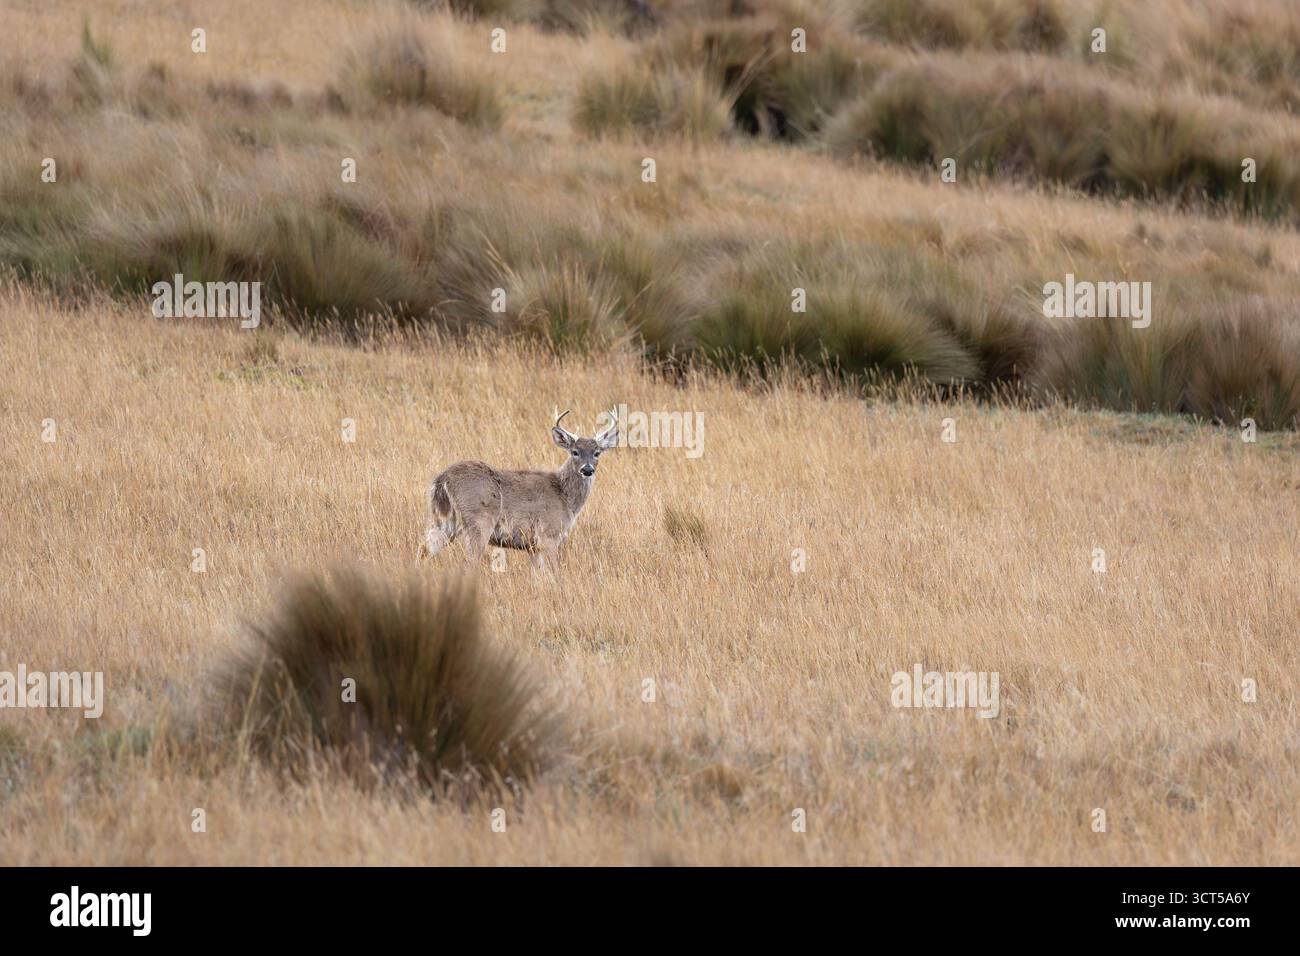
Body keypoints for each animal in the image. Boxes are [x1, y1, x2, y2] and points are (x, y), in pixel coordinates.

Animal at [422, 408, 619, 568]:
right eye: (575, 452)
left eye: (597, 453)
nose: (587, 469)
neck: (565, 496)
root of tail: (442, 479)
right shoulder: (548, 535)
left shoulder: (532, 546)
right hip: (478, 521)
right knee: (468, 562)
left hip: (444, 519)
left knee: (425, 547)